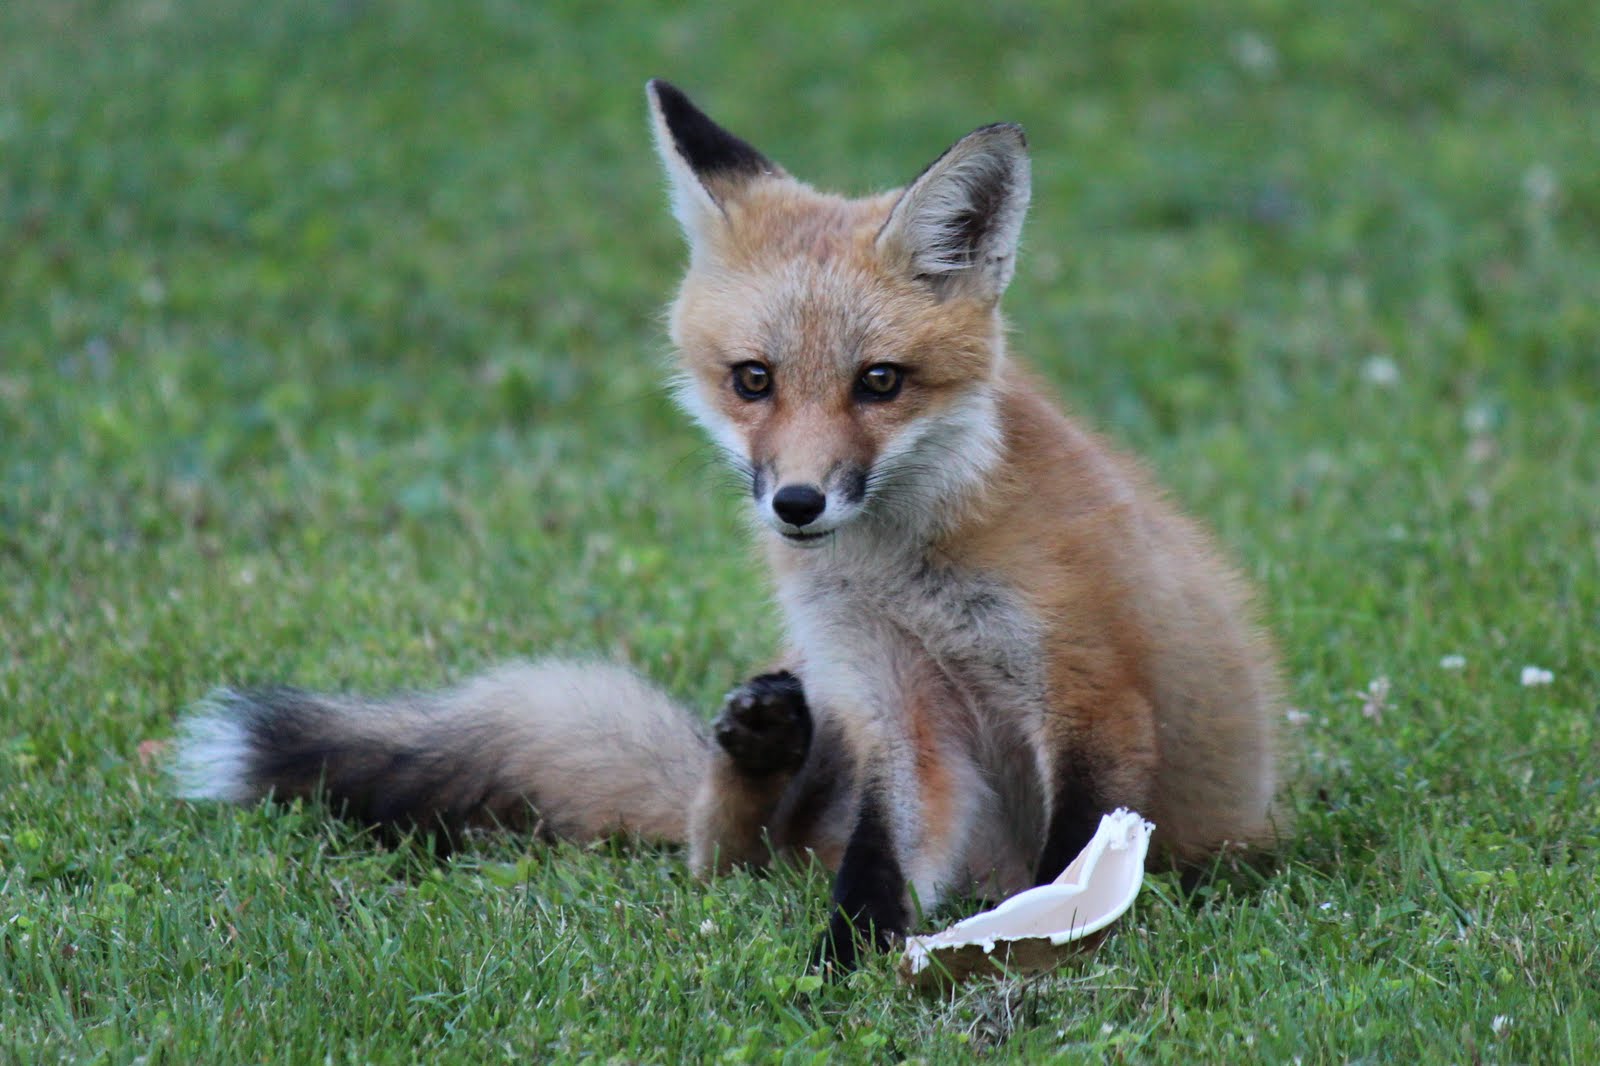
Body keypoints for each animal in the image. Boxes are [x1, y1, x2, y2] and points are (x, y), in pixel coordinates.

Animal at [171, 80, 1281, 970]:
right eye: (754, 380)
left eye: (880, 383)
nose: (798, 503)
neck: (905, 575)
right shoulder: (893, 709)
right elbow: (875, 865)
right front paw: (841, 970)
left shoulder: (1092, 694)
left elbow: (1067, 872)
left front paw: (1023, 952)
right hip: (823, 716)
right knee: (724, 851)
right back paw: (755, 747)